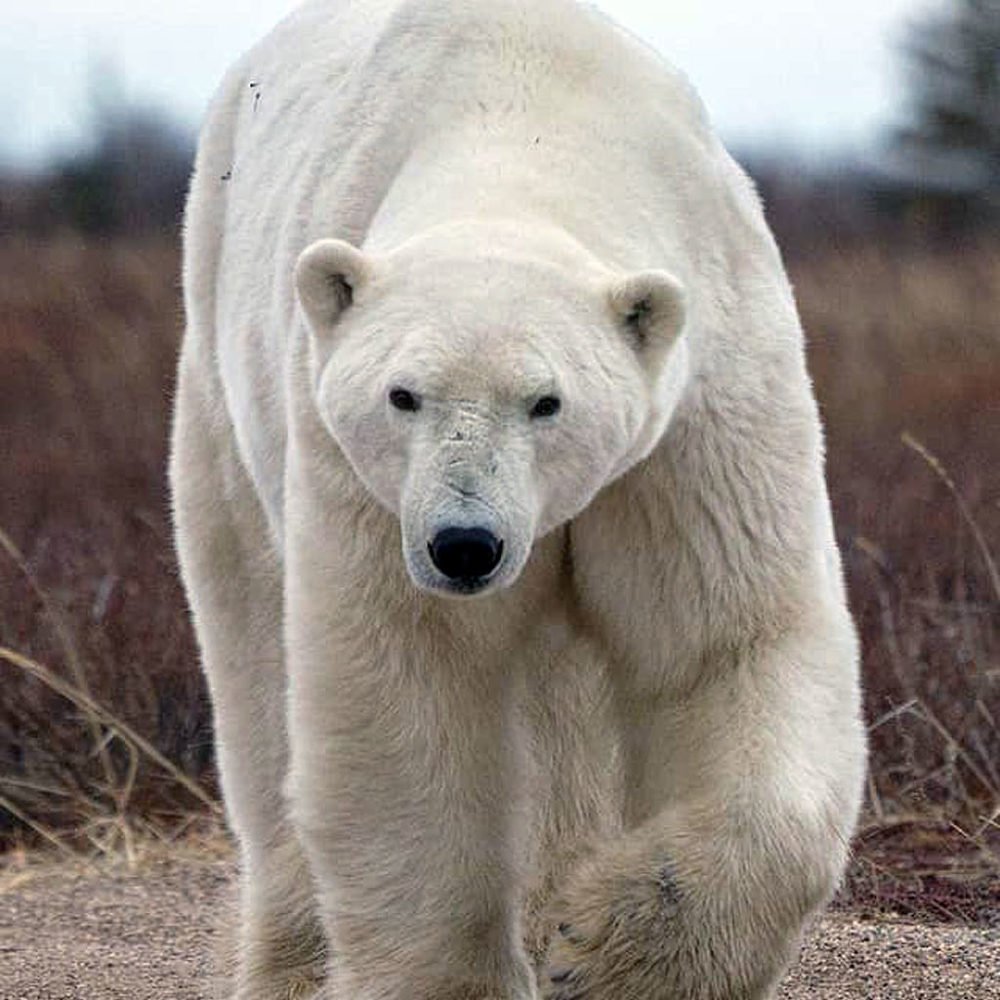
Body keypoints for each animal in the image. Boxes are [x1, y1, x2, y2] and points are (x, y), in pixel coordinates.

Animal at [169, 1, 867, 999]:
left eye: (547, 401)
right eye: (403, 394)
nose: (467, 545)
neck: (526, 116)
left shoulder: (697, 409)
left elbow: (726, 639)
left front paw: (612, 949)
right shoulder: (364, 479)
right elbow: (410, 690)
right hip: (226, 372)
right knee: (254, 643)